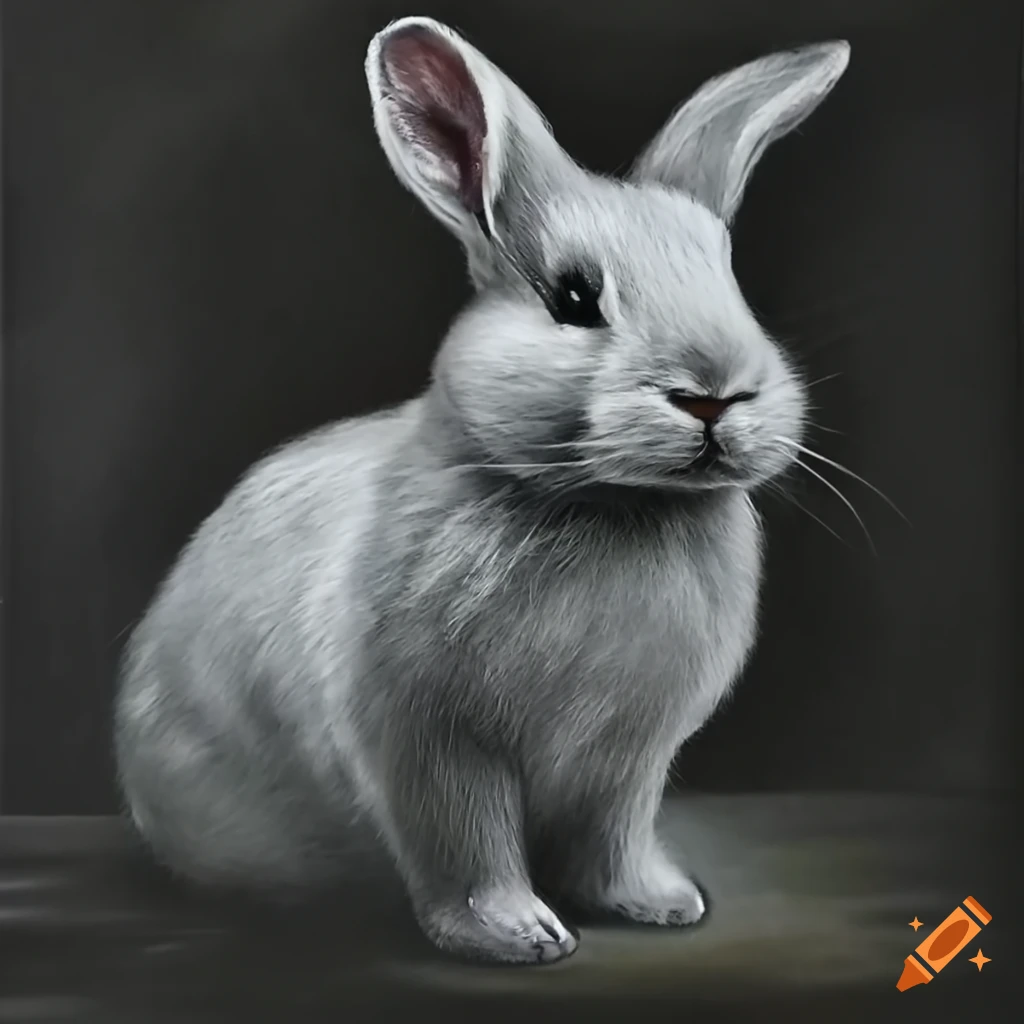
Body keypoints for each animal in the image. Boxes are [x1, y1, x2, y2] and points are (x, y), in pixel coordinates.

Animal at [114, 16, 850, 965]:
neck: (607, 501)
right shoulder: (431, 743)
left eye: (733, 286)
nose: (716, 390)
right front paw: (520, 936)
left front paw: (659, 902)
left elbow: (613, 836)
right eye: (575, 296)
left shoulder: (627, 759)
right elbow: (467, 842)